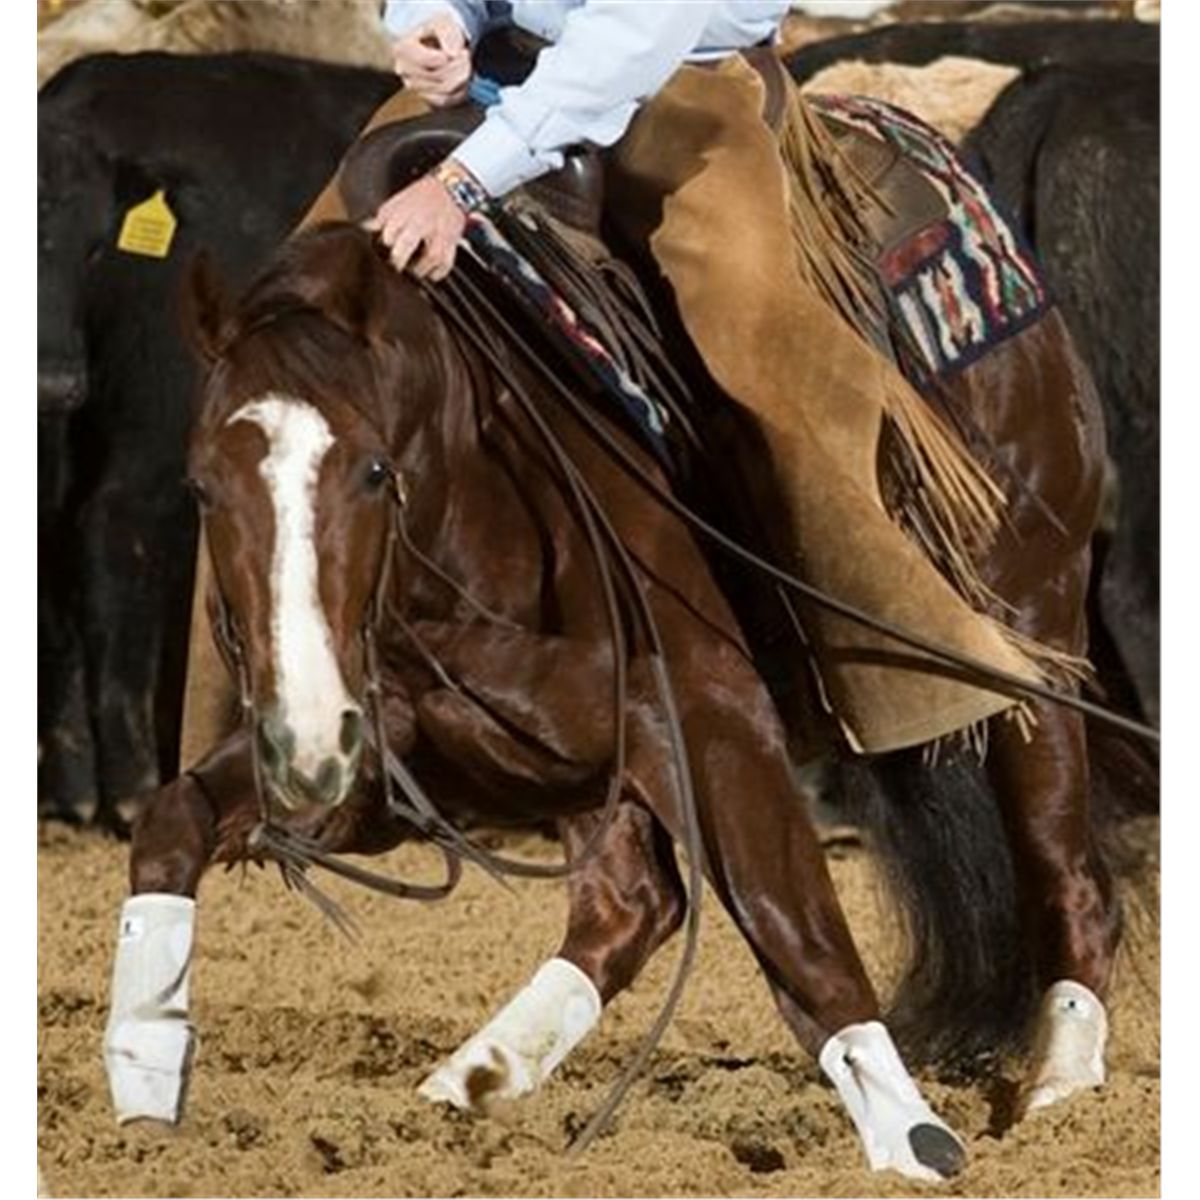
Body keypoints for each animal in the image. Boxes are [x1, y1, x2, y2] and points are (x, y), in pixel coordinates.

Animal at [103, 195, 1119, 1180]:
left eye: (373, 469)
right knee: (629, 905)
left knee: (1068, 879)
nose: (306, 743)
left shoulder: (714, 721)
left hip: (1032, 641)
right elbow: (173, 821)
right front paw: (143, 1086)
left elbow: (798, 928)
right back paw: (465, 1082)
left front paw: (916, 1140)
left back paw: (1060, 1093)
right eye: (202, 487)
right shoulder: (373, 760)